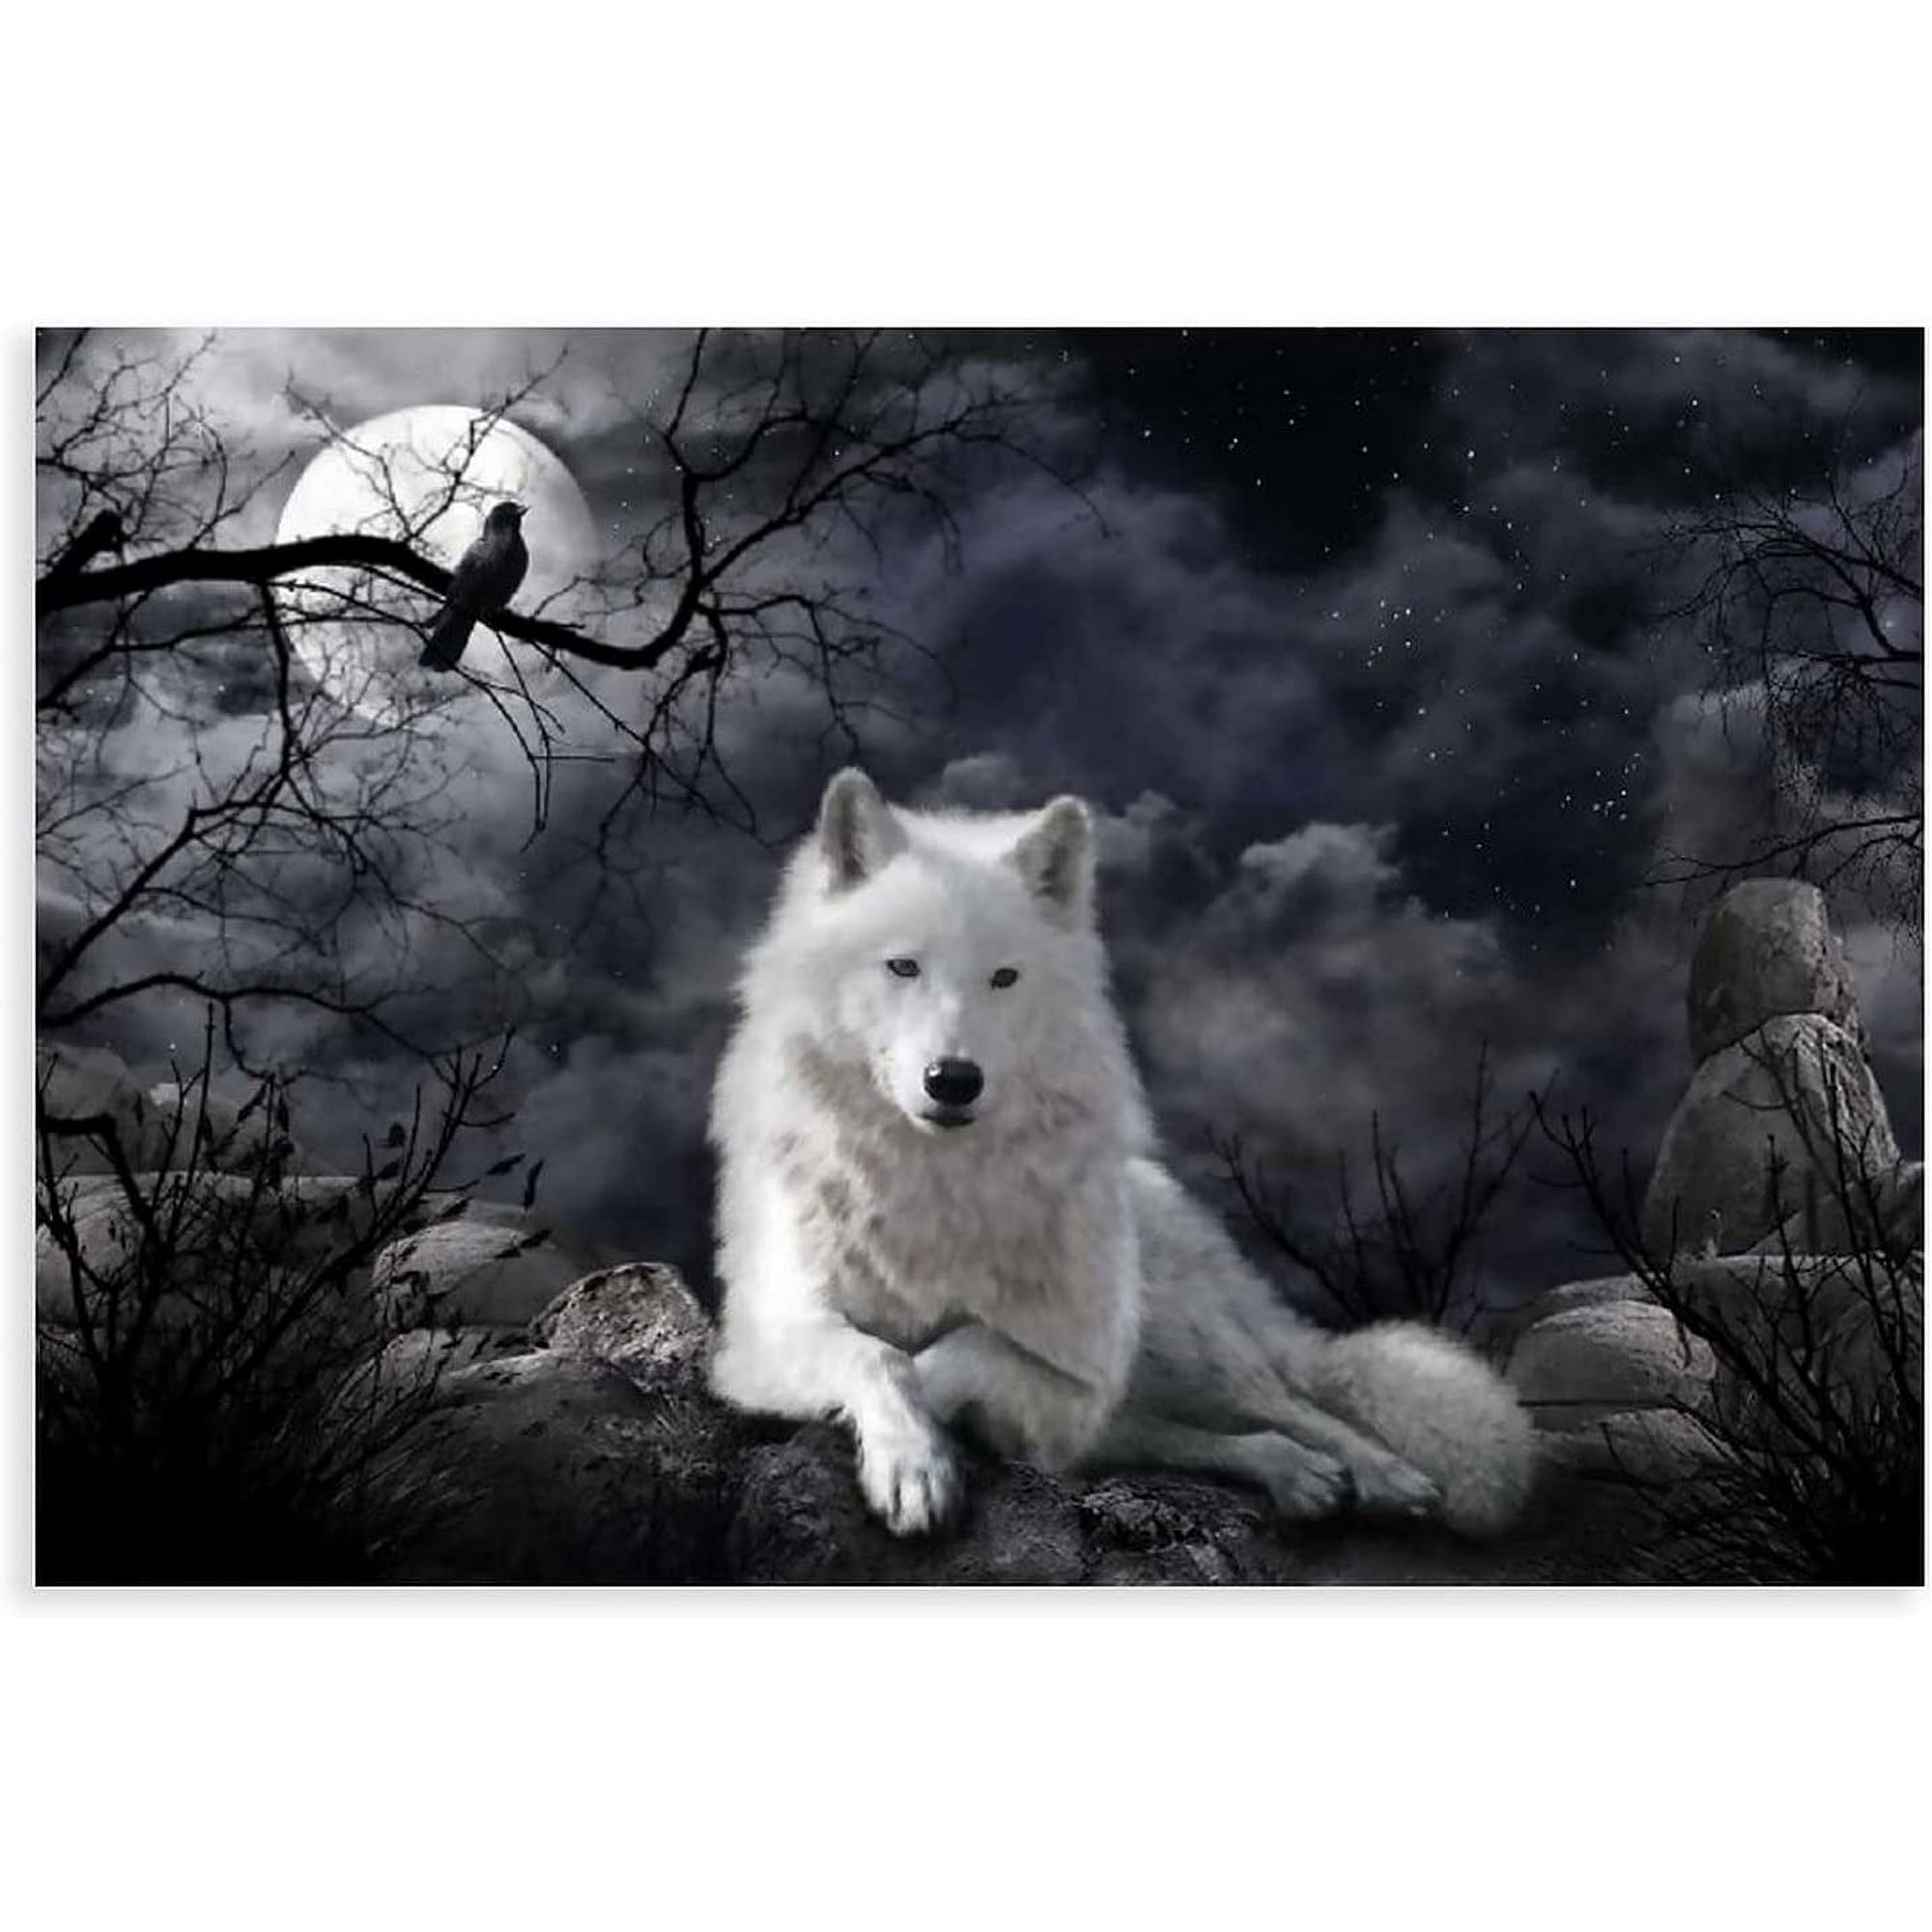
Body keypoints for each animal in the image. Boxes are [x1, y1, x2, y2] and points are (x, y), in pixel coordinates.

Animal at [708, 770, 1537, 1540]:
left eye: (1004, 977)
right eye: (903, 967)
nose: (954, 1080)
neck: (932, 1183)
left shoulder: (1080, 1369)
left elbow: (964, 1348)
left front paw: (932, 1430)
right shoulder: (763, 1339)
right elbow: (874, 1354)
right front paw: (912, 1464)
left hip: (1187, 1343)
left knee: (1296, 1402)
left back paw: (1387, 1475)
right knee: (1195, 1436)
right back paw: (1297, 1475)